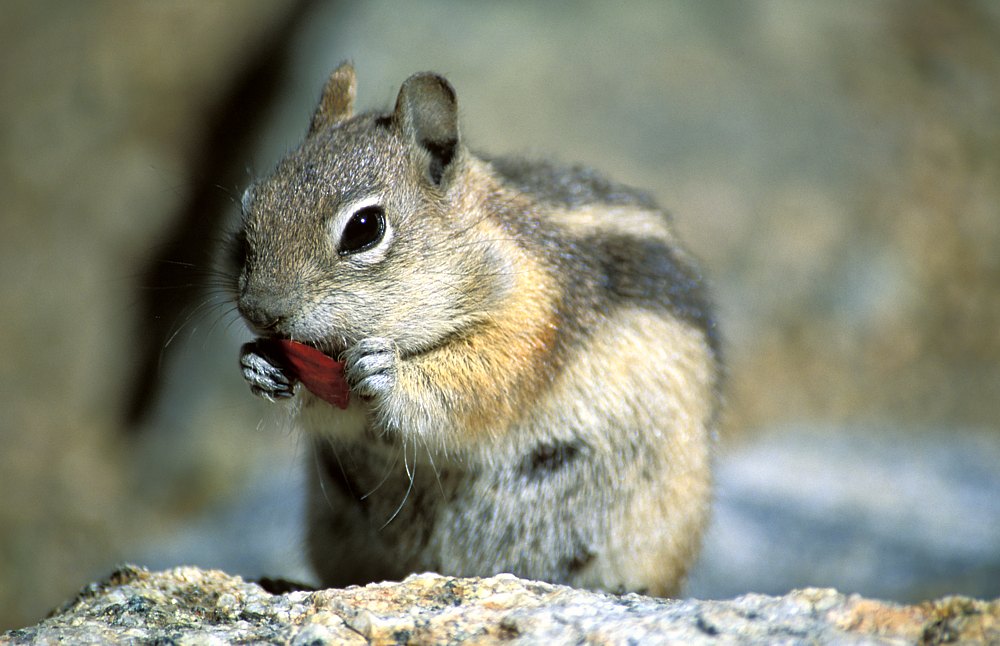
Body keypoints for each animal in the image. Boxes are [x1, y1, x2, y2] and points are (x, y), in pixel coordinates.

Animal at [231, 62, 720, 597]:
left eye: (364, 228)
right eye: (248, 210)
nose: (259, 310)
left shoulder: (534, 316)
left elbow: (482, 383)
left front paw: (388, 374)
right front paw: (259, 365)